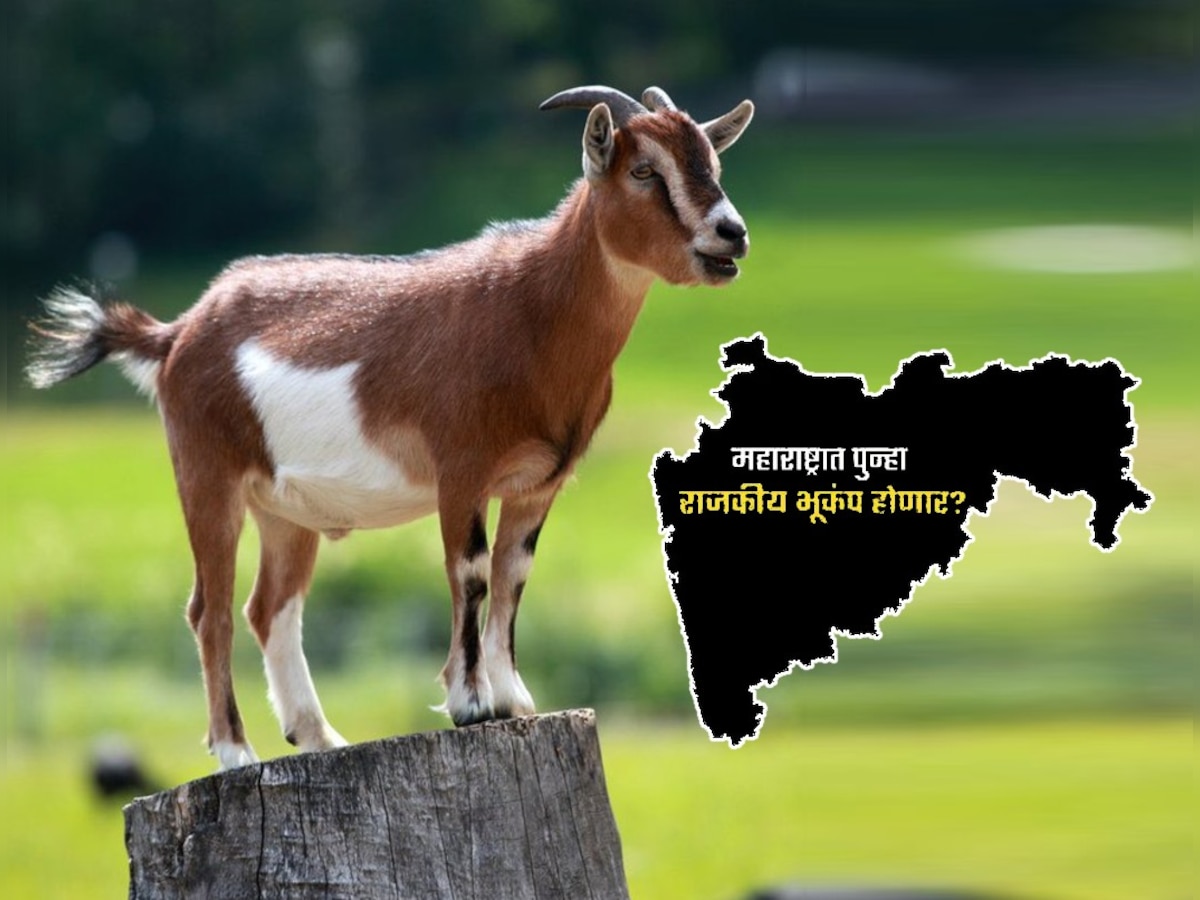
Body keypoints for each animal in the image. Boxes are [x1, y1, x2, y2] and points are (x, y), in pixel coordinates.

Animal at [26, 85, 754, 769]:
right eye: (643, 170)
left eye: (713, 163)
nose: (732, 233)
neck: (530, 312)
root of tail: (176, 333)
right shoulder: (461, 469)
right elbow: (471, 571)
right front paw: (470, 704)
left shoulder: (538, 483)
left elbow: (514, 574)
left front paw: (514, 699)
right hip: (207, 474)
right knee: (212, 609)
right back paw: (235, 751)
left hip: (283, 509)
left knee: (269, 607)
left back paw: (318, 735)